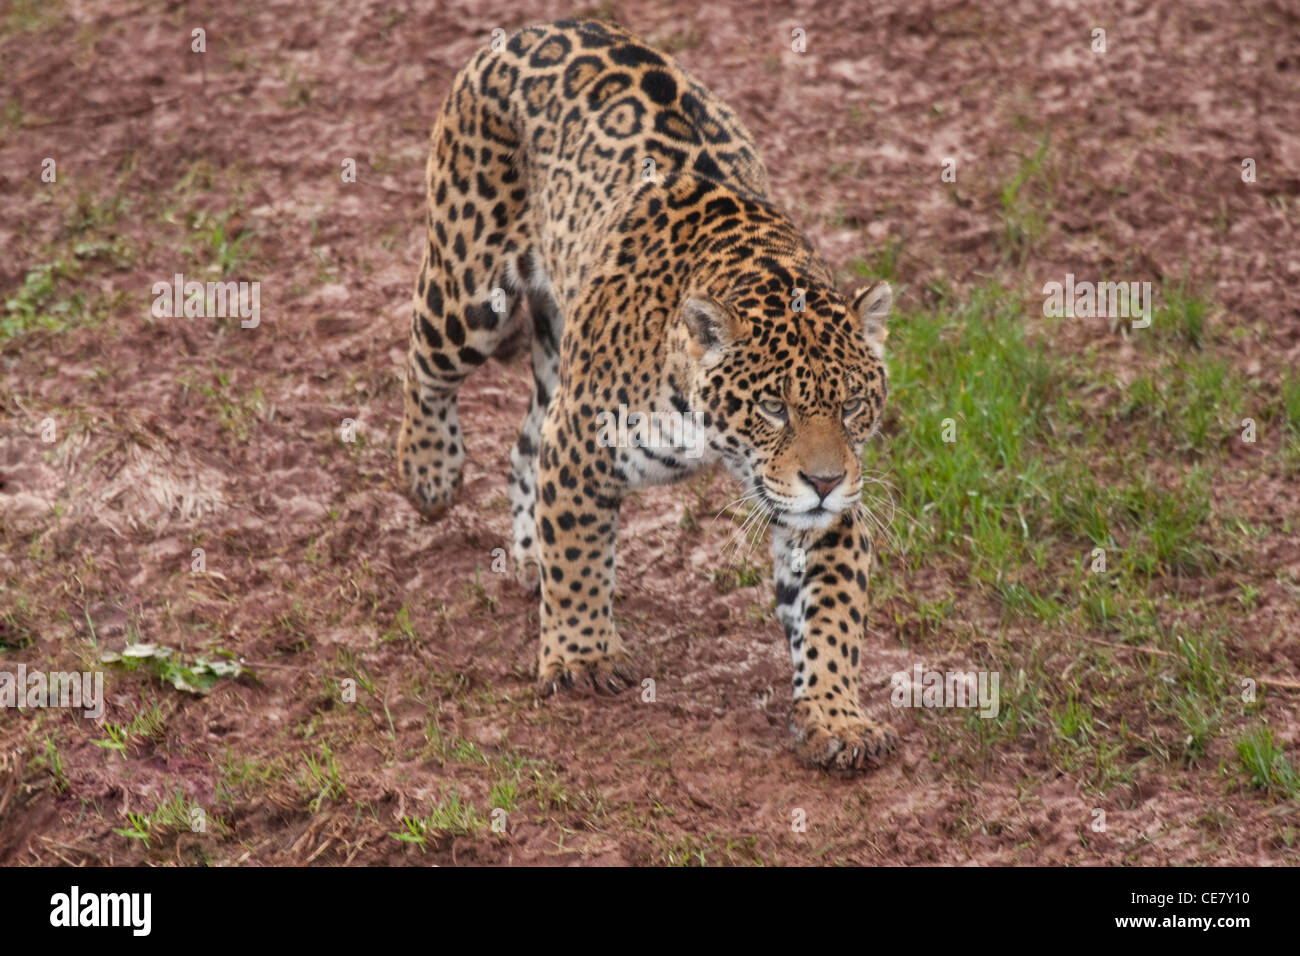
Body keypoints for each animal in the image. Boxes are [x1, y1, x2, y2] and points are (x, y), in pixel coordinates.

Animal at [397, 17, 898, 771]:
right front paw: (581, 657)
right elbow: (580, 554)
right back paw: (429, 473)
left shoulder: (829, 516)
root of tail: (532, 27)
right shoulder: (582, 441)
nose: (823, 481)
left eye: (852, 406)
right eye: (773, 407)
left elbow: (832, 617)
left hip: (555, 341)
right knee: (423, 362)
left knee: (523, 443)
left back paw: (527, 555)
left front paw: (838, 716)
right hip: (469, 286)